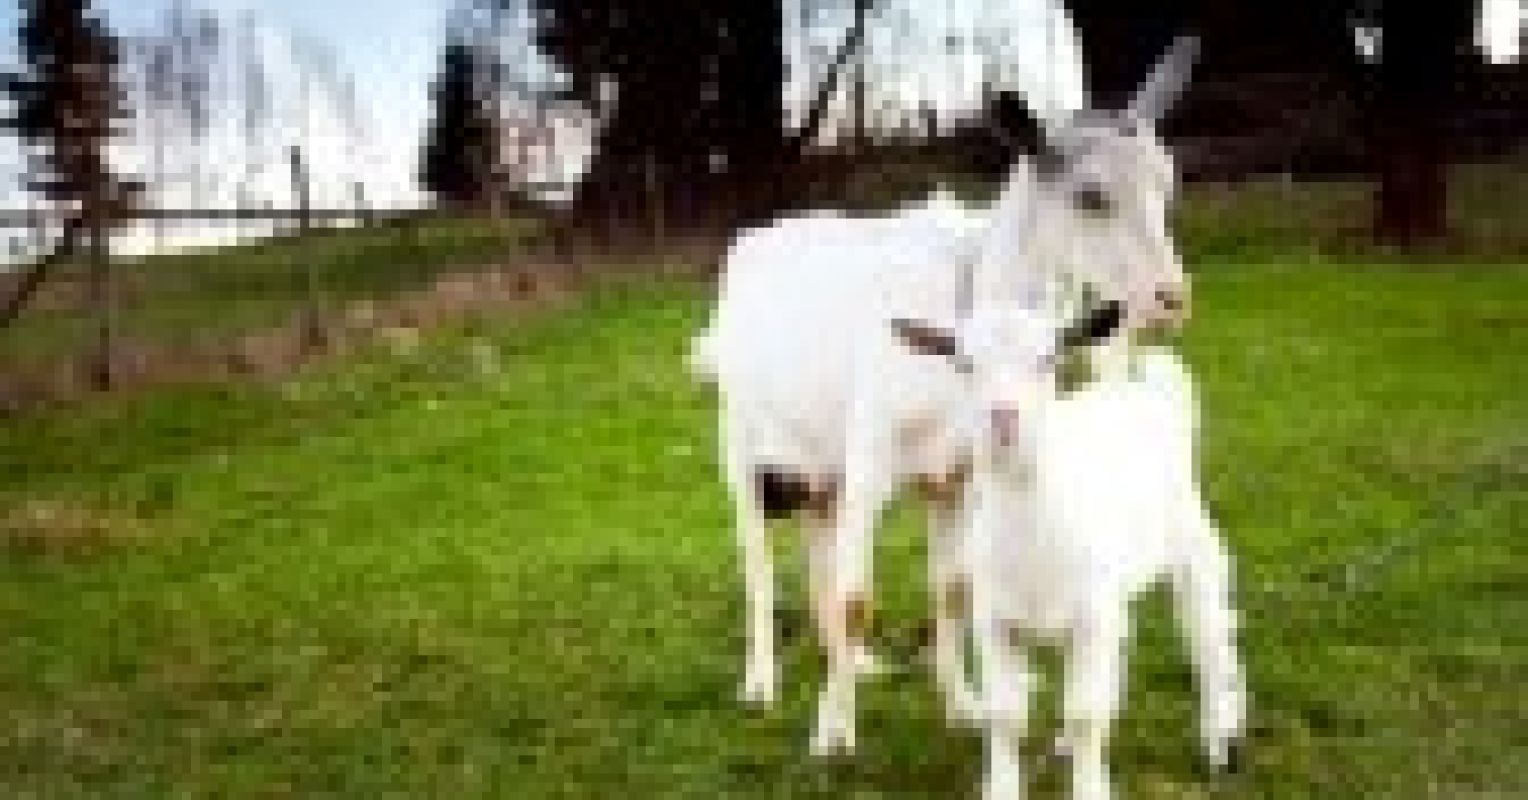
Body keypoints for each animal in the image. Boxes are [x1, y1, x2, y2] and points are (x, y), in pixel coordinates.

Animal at [691, 34, 1203, 754]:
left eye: (1167, 182)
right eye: (1090, 195)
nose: (1170, 299)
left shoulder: (959, 477)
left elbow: (953, 591)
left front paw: (963, 706)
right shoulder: (872, 461)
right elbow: (857, 599)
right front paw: (833, 734)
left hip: (824, 467)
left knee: (820, 544)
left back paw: (854, 665)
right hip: (741, 445)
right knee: (758, 563)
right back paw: (762, 683)